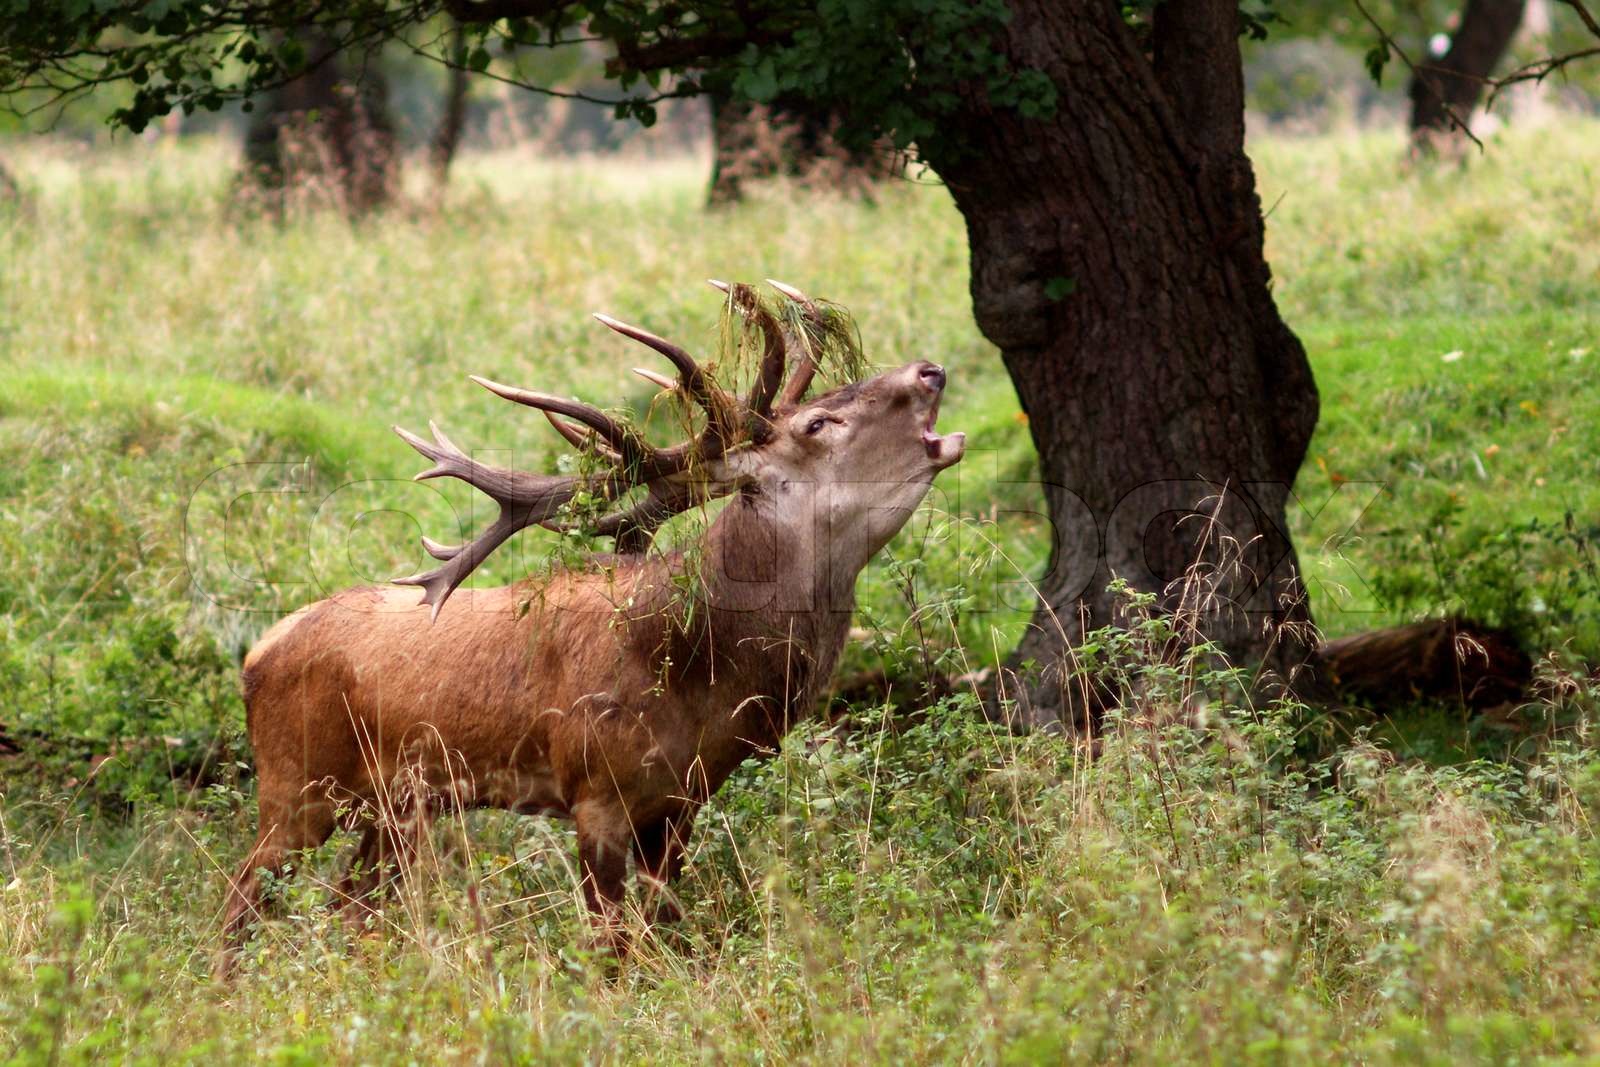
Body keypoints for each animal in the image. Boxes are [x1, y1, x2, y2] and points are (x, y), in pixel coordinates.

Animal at [217, 280, 964, 975]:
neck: (699, 674)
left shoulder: (679, 802)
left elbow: (665, 925)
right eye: (818, 423)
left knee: (349, 905)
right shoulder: (595, 790)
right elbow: (610, 944)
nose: (930, 370)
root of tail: (256, 654)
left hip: (397, 805)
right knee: (240, 899)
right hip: (297, 783)